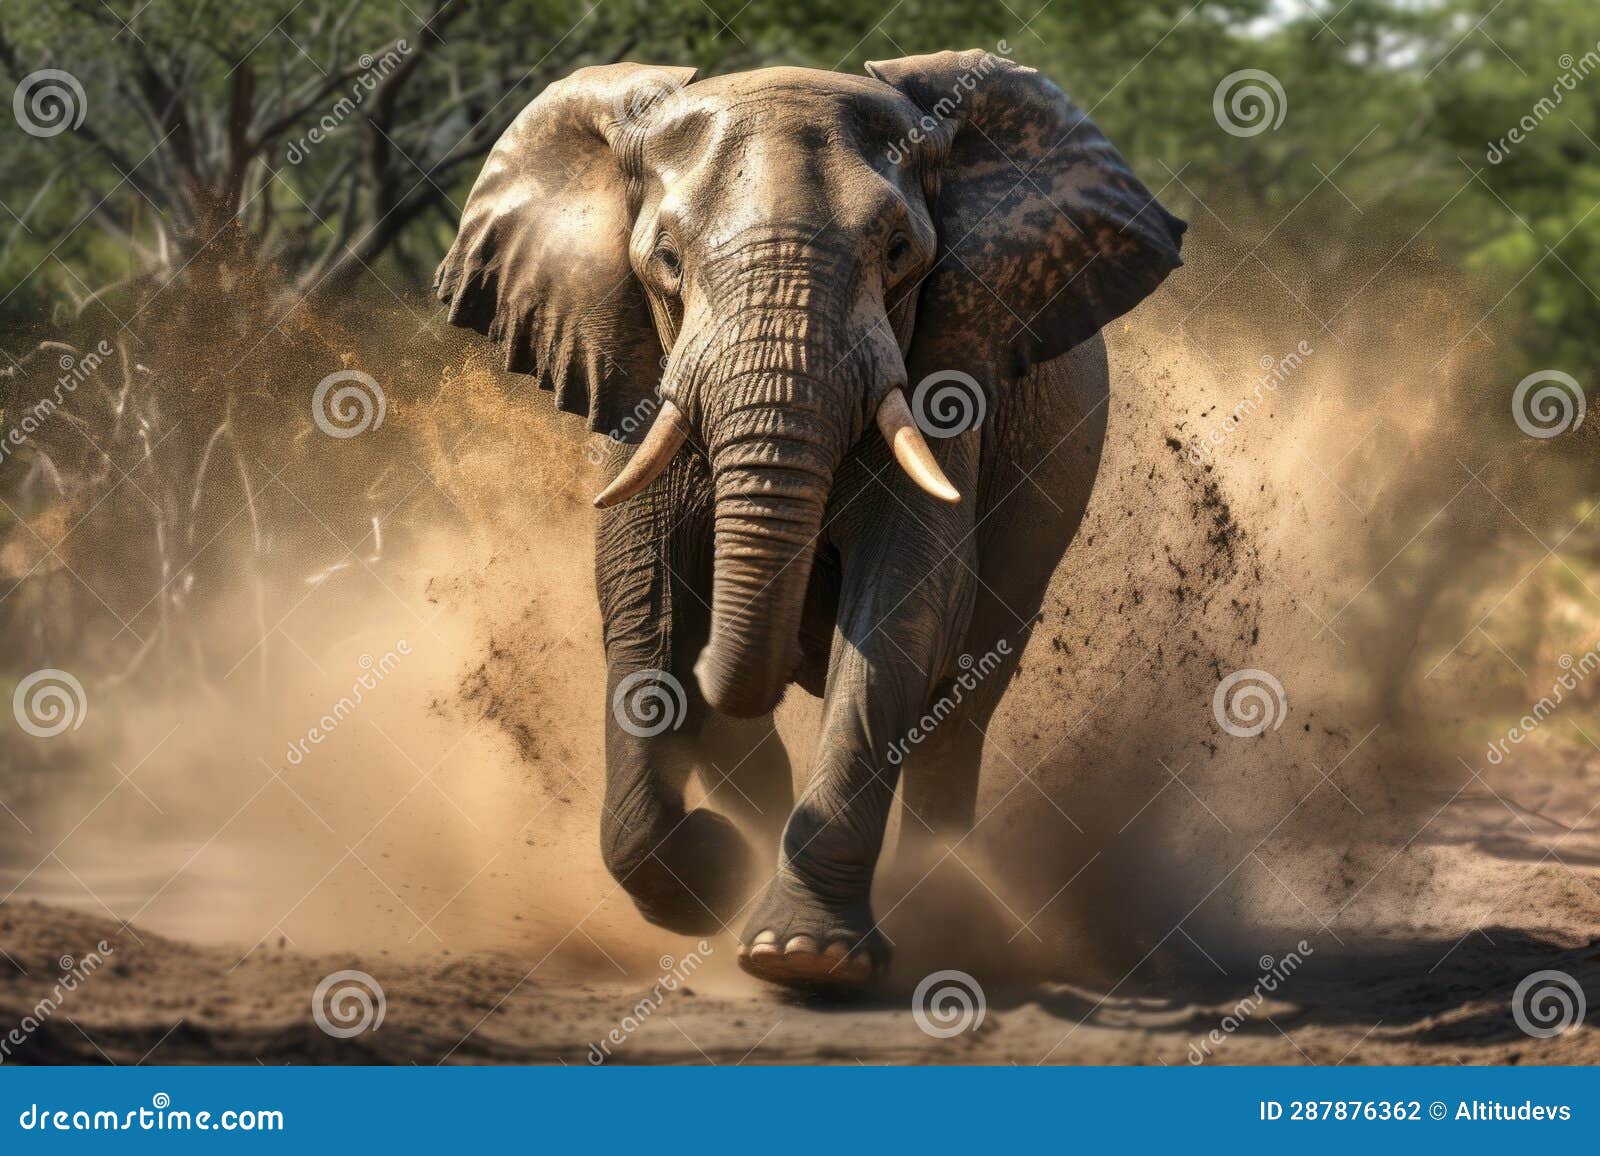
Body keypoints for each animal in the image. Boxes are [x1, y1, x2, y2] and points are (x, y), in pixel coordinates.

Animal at [436, 49, 1185, 989]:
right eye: (667, 261)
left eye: (900, 252)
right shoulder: (638, 394)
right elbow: (644, 606)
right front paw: (714, 879)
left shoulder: (943, 387)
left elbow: (903, 612)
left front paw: (802, 958)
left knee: (963, 700)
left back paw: (946, 896)